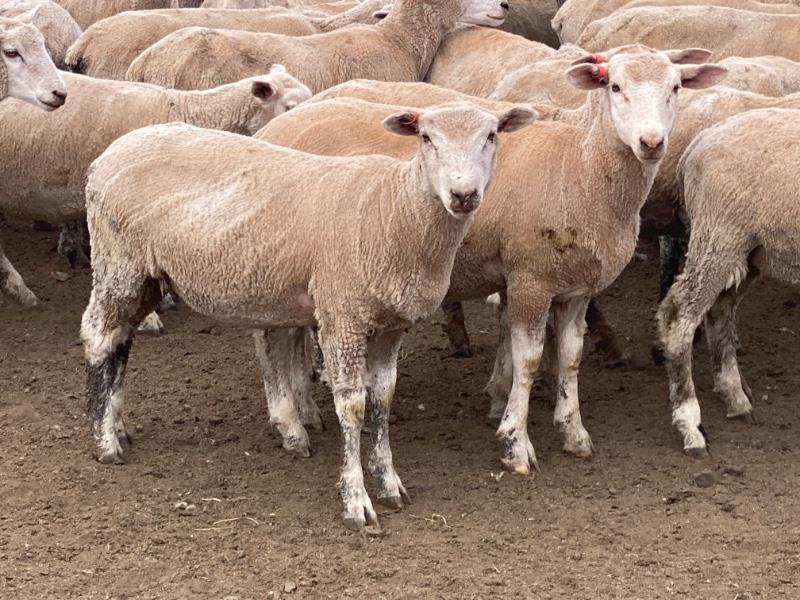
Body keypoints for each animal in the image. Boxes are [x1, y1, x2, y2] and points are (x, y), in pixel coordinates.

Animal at [80, 102, 536, 529]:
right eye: (425, 137)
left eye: (492, 135)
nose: (463, 194)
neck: (393, 210)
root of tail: (108, 156)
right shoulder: (342, 315)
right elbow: (352, 405)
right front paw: (355, 500)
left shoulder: (393, 324)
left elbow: (383, 398)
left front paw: (389, 482)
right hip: (118, 261)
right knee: (98, 337)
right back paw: (104, 442)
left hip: (145, 274)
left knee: (121, 339)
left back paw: (118, 426)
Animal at [255, 45, 727, 472]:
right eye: (615, 86)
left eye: (676, 87)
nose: (651, 142)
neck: (579, 166)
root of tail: (276, 126)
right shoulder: (529, 278)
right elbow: (529, 358)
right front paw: (515, 443)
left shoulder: (577, 287)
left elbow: (570, 356)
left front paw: (573, 432)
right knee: (273, 337)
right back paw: (292, 419)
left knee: (287, 333)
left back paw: (304, 412)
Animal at [657, 108, 800, 457]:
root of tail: (697, 147)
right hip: (720, 234)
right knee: (679, 315)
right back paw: (691, 425)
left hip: (749, 251)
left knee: (719, 311)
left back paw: (735, 398)